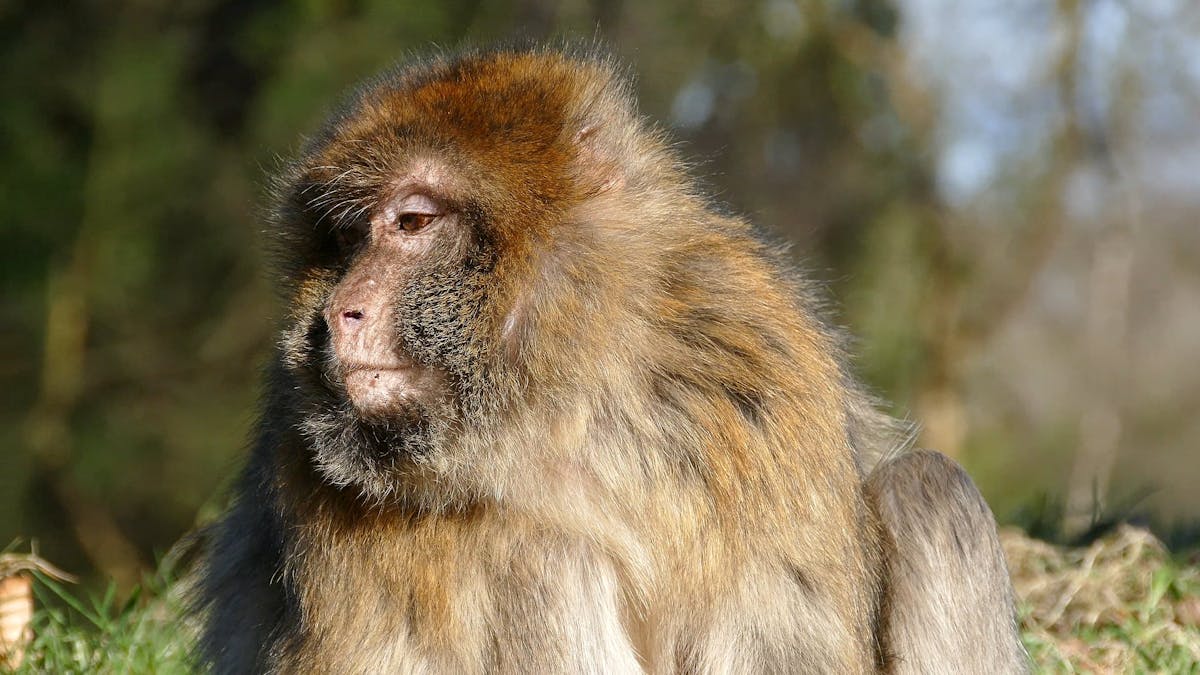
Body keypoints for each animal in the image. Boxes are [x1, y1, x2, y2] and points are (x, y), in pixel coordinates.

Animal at [196, 49, 1028, 674]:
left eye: (412, 223)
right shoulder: (305, 457)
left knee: (930, 488)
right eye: (345, 238)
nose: (341, 311)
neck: (557, 403)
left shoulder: (754, 360)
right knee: (538, 550)